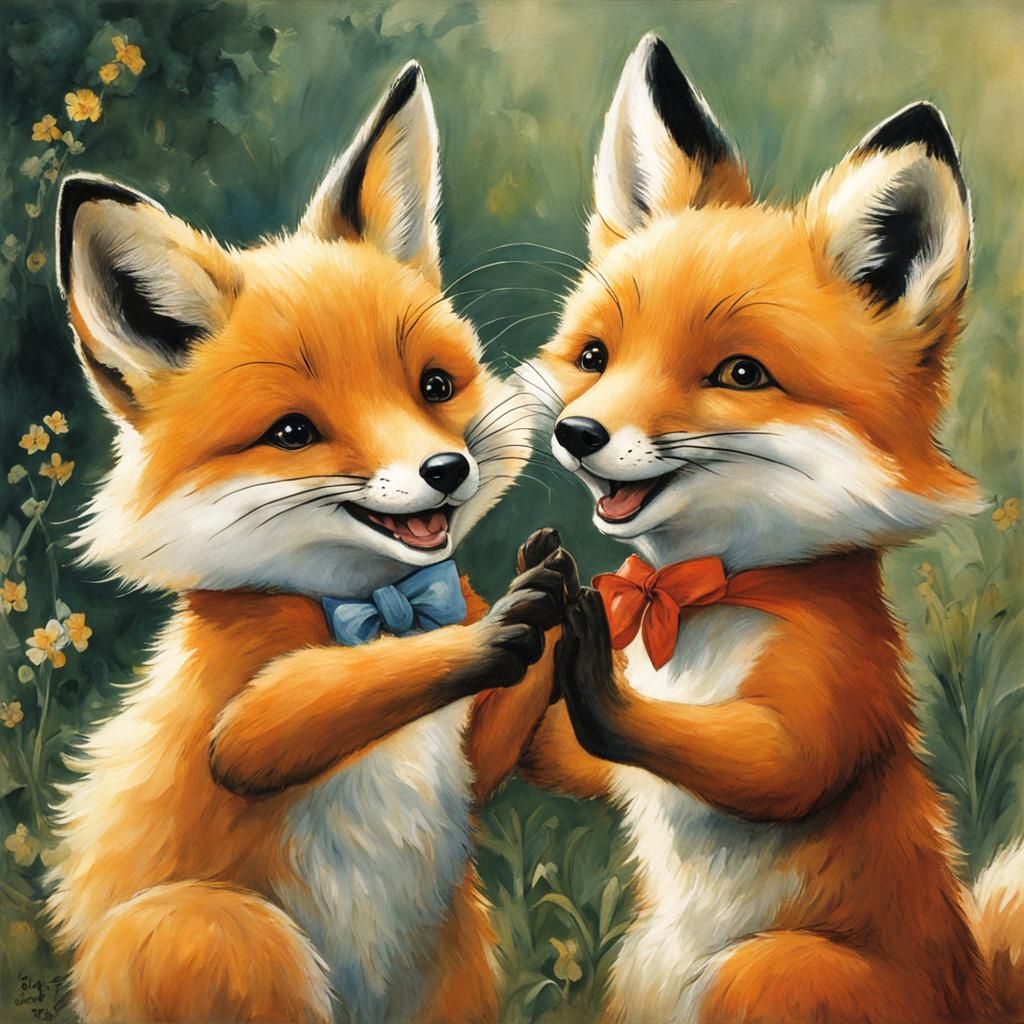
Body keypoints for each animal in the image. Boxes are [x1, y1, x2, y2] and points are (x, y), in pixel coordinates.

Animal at [46, 62, 575, 1024]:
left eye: (434, 385)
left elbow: (490, 744)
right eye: (293, 433)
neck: (380, 604)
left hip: (454, 966)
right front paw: (490, 632)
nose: (446, 470)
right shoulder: (238, 702)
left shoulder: (464, 758)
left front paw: (560, 599)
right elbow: (276, 721)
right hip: (222, 934)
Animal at [516, 35, 1024, 1024]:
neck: (689, 610)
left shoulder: (838, 692)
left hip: (765, 972)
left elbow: (773, 764)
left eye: (740, 373)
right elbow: (559, 751)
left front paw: (596, 677)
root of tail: (978, 994)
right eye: (597, 356)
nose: (579, 433)